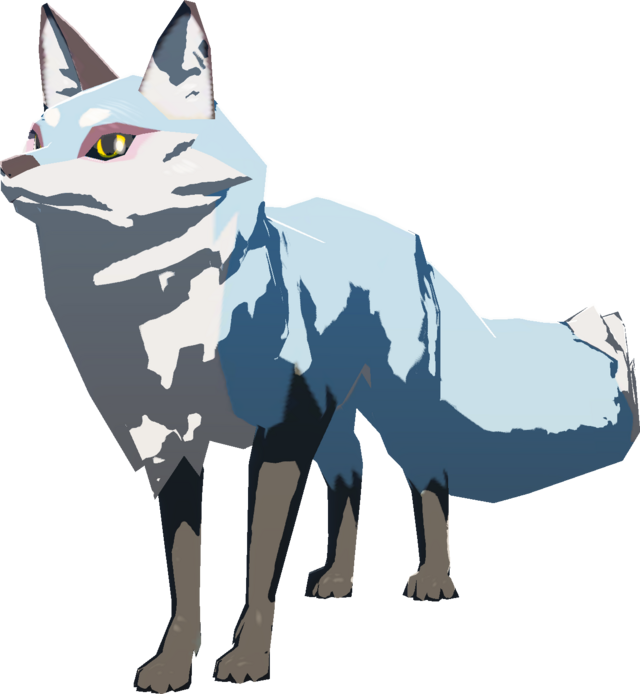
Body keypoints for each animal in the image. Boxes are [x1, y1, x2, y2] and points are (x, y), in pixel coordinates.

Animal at [1, 1, 637, 689]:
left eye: (110, 146)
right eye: (33, 137)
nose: (11, 168)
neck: (167, 331)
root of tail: (400, 231)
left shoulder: (279, 437)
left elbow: (258, 569)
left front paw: (248, 659)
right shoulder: (169, 447)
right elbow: (185, 578)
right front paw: (173, 663)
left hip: (391, 412)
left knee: (427, 480)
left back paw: (434, 579)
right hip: (333, 418)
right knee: (353, 473)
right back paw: (338, 578)